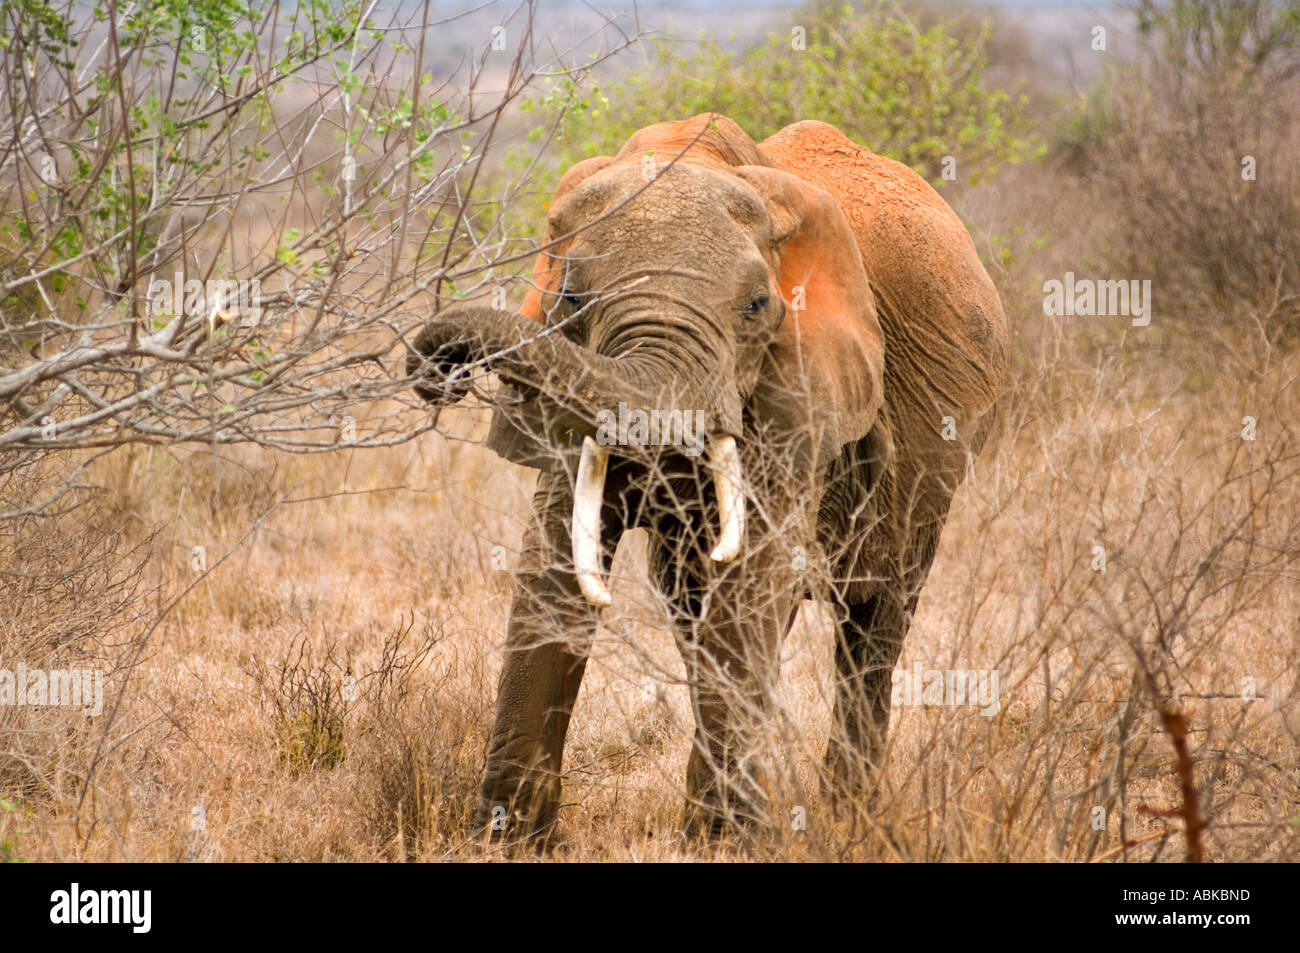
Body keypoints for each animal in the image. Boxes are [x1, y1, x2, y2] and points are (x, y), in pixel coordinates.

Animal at [407, 114, 1006, 843]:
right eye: (570, 298)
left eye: (757, 306)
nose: (441, 369)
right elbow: (553, 563)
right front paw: (507, 840)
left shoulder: (797, 389)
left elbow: (752, 575)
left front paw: (731, 843)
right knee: (695, 606)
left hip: (935, 473)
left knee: (873, 622)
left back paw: (847, 820)